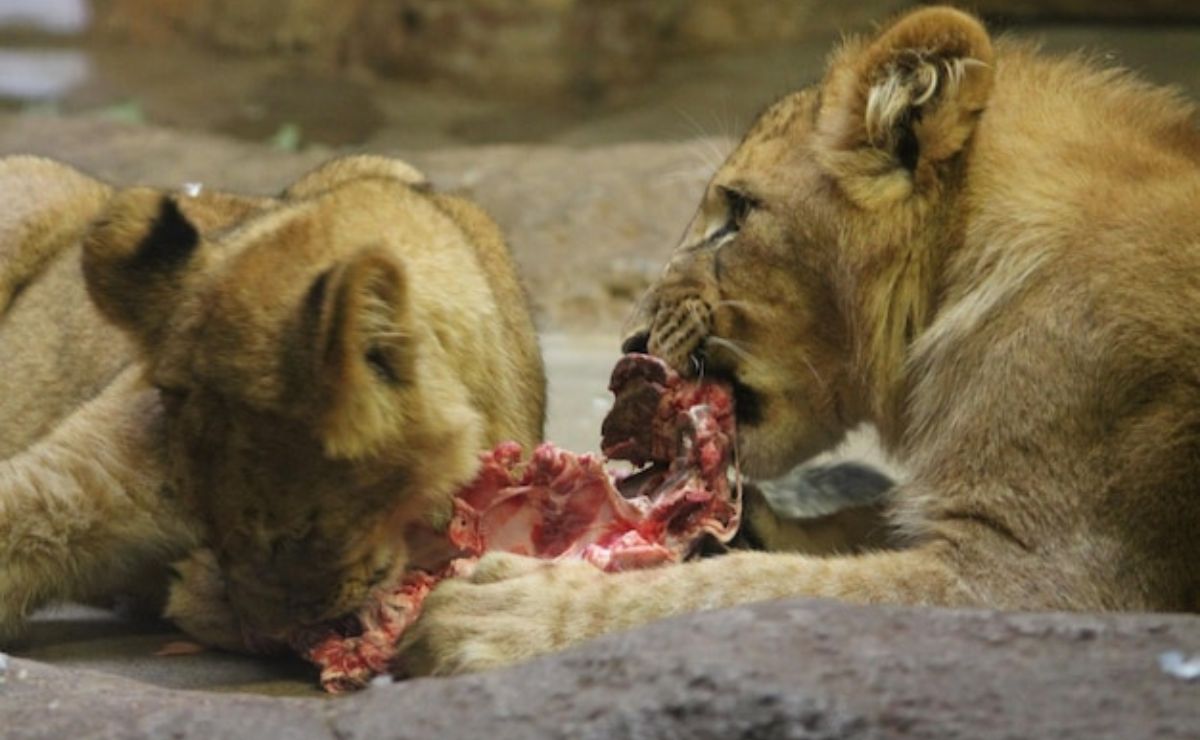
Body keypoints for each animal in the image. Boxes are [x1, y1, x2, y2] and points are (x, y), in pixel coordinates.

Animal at [397, 6, 1200, 675]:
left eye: (736, 213)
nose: (630, 338)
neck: (958, 265)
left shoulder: (1037, 583)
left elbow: (747, 593)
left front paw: (502, 613)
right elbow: (856, 524)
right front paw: (753, 523)